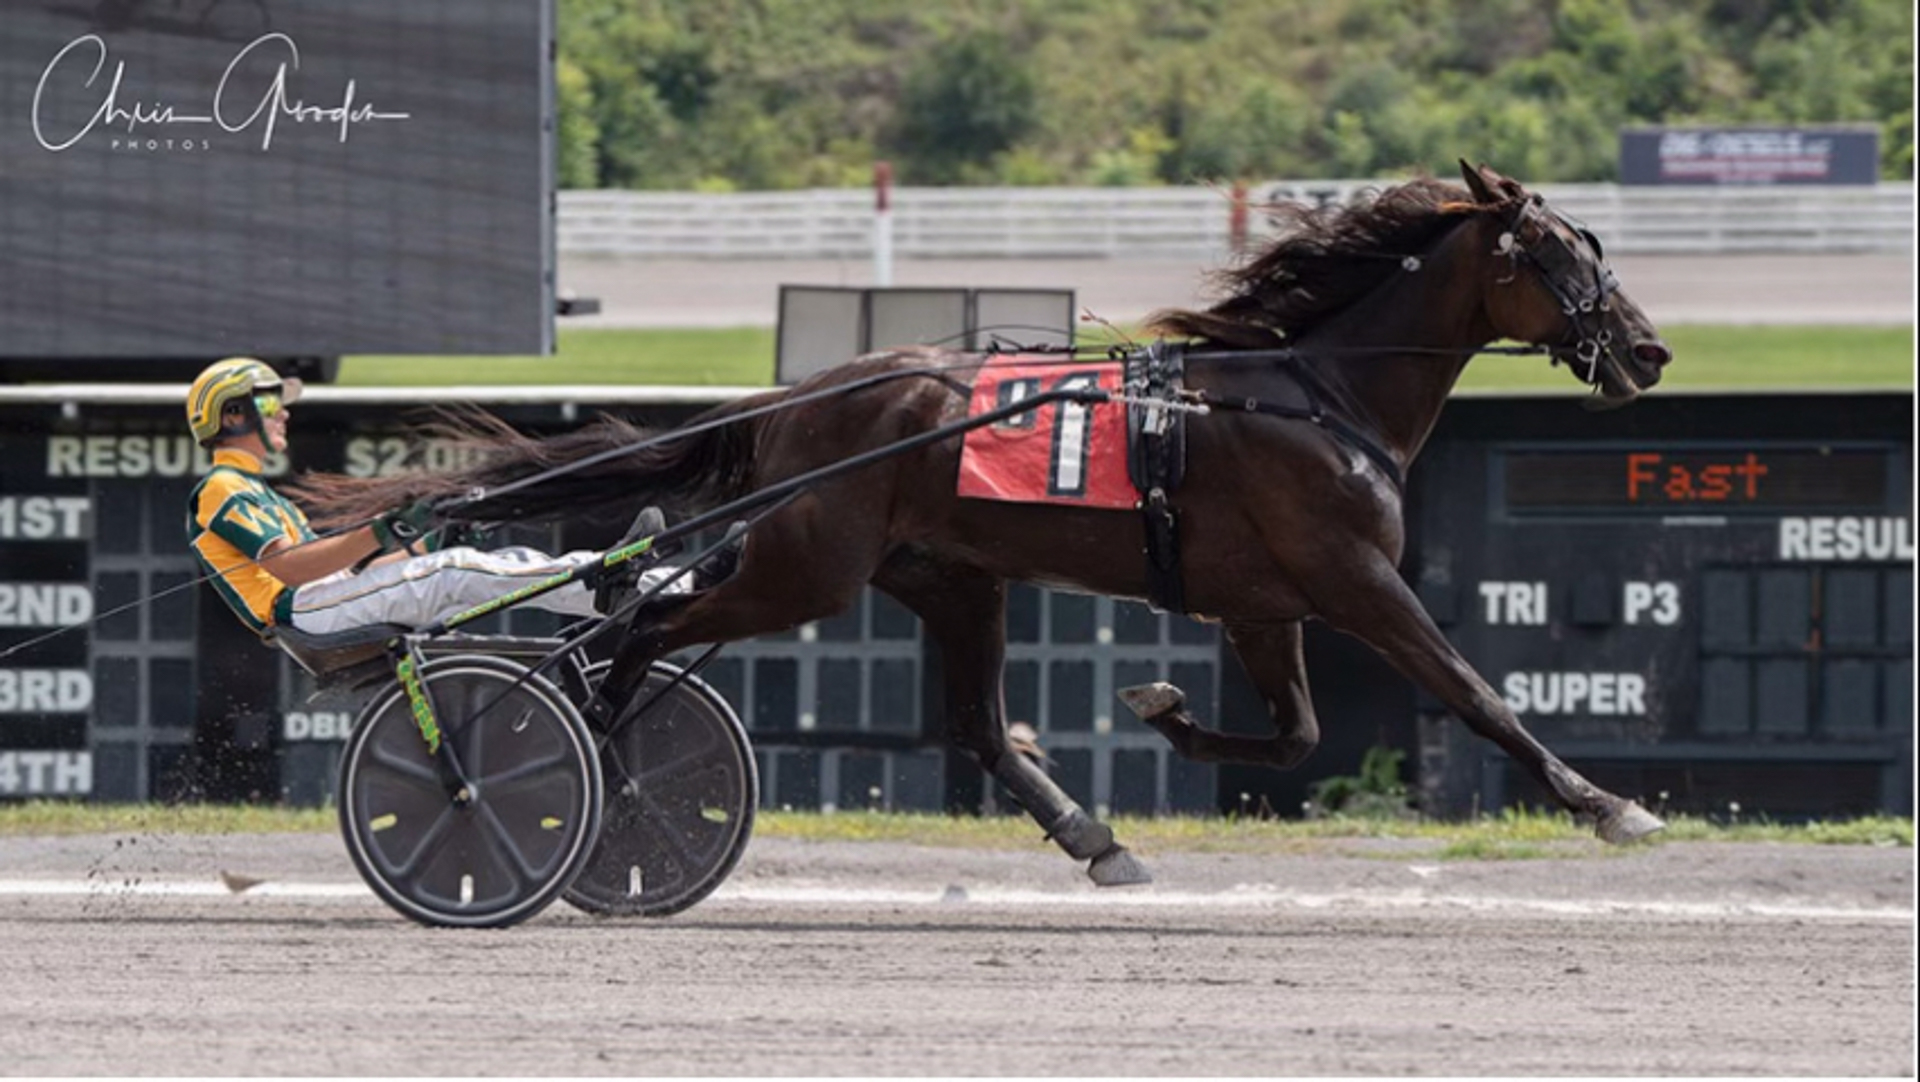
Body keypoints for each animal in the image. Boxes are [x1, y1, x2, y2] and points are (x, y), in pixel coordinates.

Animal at [295, 162, 1675, 885]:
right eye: (1562, 255)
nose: (1651, 349)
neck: (1314, 391)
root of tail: (806, 396)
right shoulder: (1352, 578)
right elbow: (1476, 693)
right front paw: (1608, 803)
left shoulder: (1263, 599)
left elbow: (1294, 735)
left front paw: (1162, 710)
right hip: (807, 566)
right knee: (639, 629)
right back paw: (580, 759)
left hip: (953, 577)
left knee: (970, 719)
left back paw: (1093, 834)